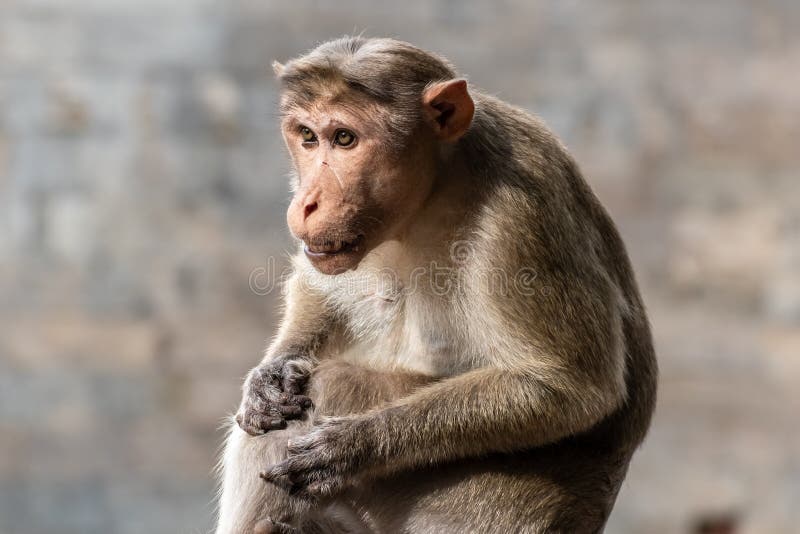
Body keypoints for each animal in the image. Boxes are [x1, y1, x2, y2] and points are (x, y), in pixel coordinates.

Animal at [216, 36, 657, 534]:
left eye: (345, 138)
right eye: (307, 136)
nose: (306, 202)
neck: (435, 188)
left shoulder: (523, 214)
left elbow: (573, 387)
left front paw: (353, 447)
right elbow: (319, 288)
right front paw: (270, 376)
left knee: (330, 385)